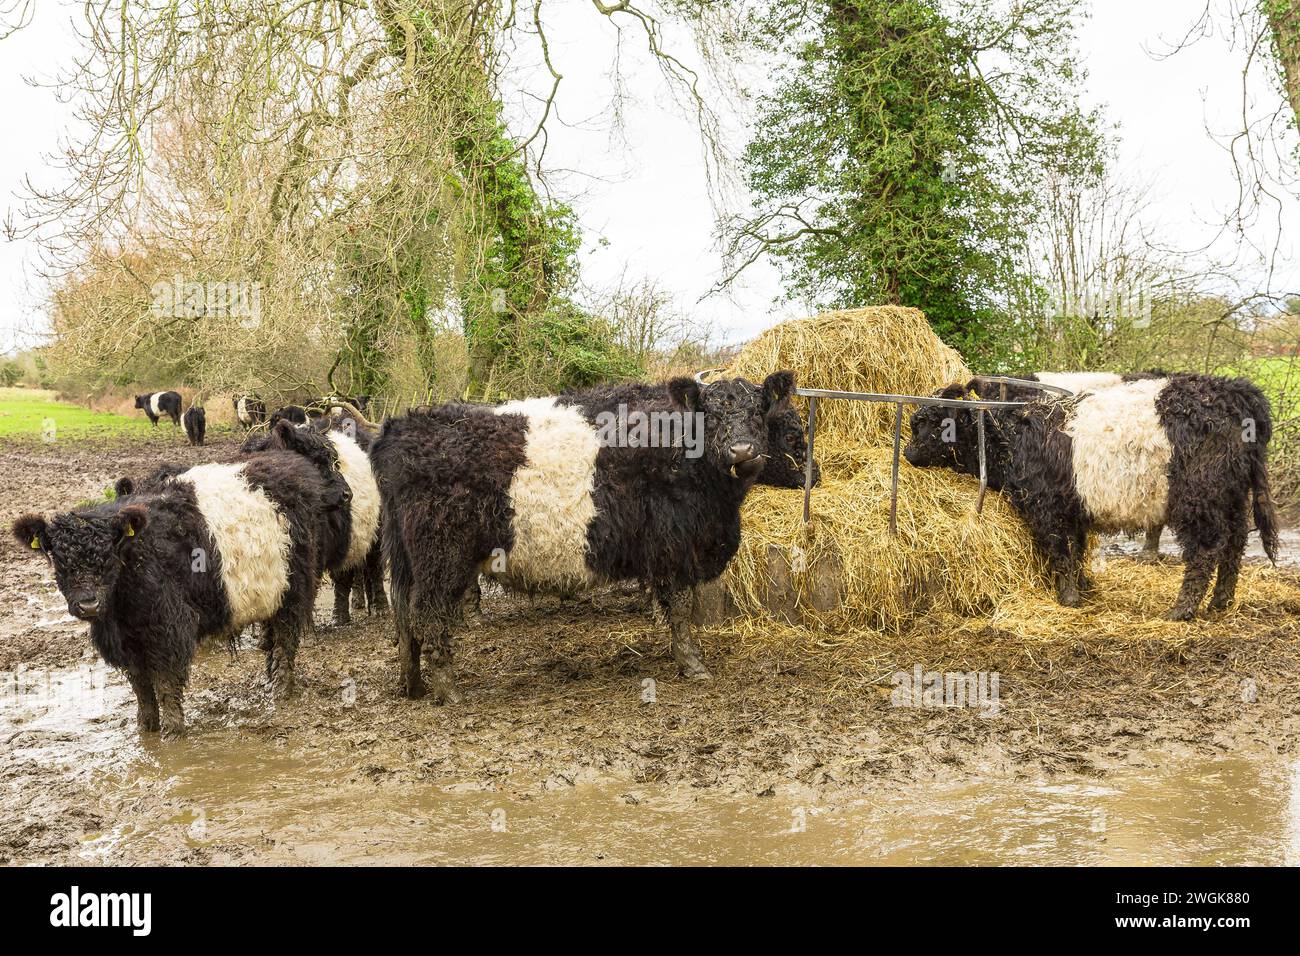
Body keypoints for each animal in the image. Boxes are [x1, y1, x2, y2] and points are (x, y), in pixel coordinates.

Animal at [12, 420, 351, 738]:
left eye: (109, 556)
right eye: (59, 560)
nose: (88, 604)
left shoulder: (168, 628)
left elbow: (165, 685)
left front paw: (173, 734)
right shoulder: (127, 641)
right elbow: (141, 689)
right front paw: (145, 728)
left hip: (294, 587)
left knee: (285, 640)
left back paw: (281, 690)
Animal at [370, 372, 795, 702]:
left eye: (758, 410)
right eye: (711, 414)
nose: (742, 450)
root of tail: (401, 427)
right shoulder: (675, 546)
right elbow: (679, 607)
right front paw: (692, 663)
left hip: (409, 559)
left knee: (404, 616)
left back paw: (413, 684)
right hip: (441, 560)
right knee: (429, 615)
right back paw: (447, 689)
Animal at [903, 373, 1280, 619]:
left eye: (935, 422)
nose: (907, 452)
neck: (1013, 439)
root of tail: (1233, 389)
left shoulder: (1046, 509)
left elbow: (1059, 552)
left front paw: (1068, 598)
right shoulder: (1074, 508)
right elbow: (1078, 549)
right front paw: (1084, 587)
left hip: (1199, 497)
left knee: (1205, 550)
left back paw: (1182, 609)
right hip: (1233, 495)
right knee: (1234, 544)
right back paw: (1220, 603)